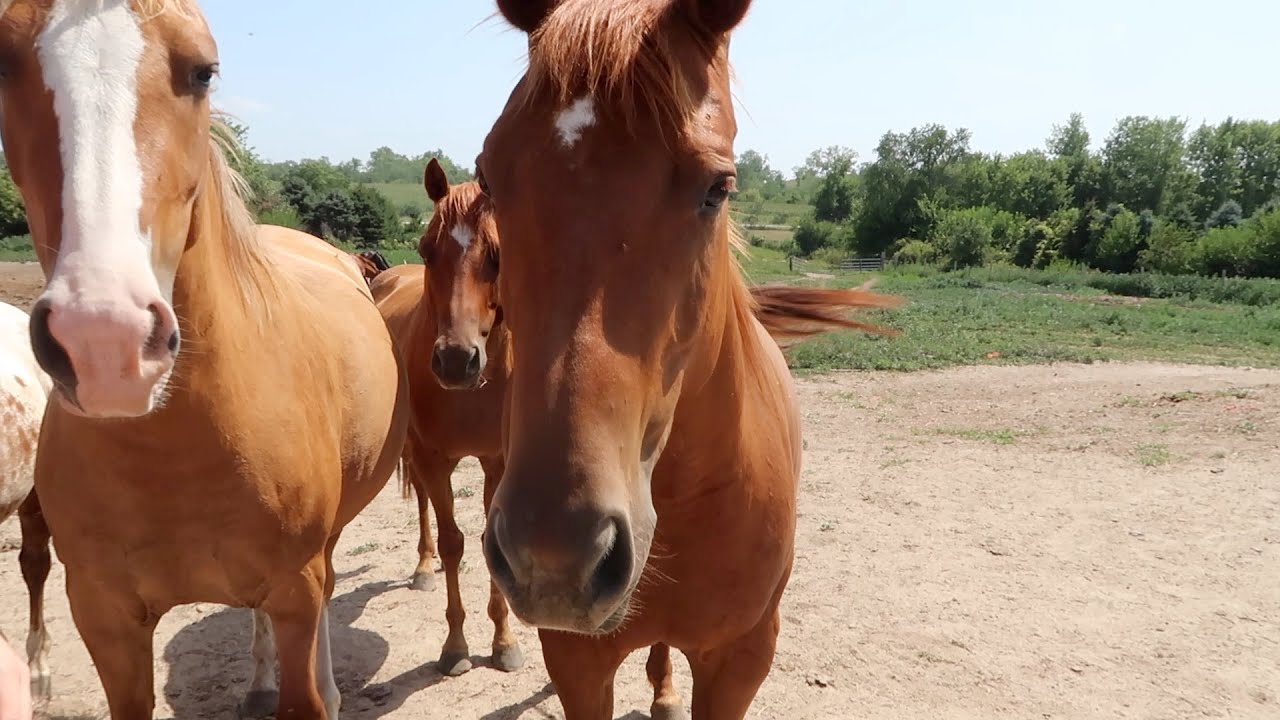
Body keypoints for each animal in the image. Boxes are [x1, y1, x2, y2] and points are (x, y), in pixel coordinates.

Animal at [368, 159, 523, 676]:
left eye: (498, 254)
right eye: (425, 248)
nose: (457, 361)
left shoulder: (497, 462)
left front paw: (504, 643)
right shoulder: (434, 458)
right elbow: (454, 542)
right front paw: (455, 646)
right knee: (421, 505)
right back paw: (423, 566)